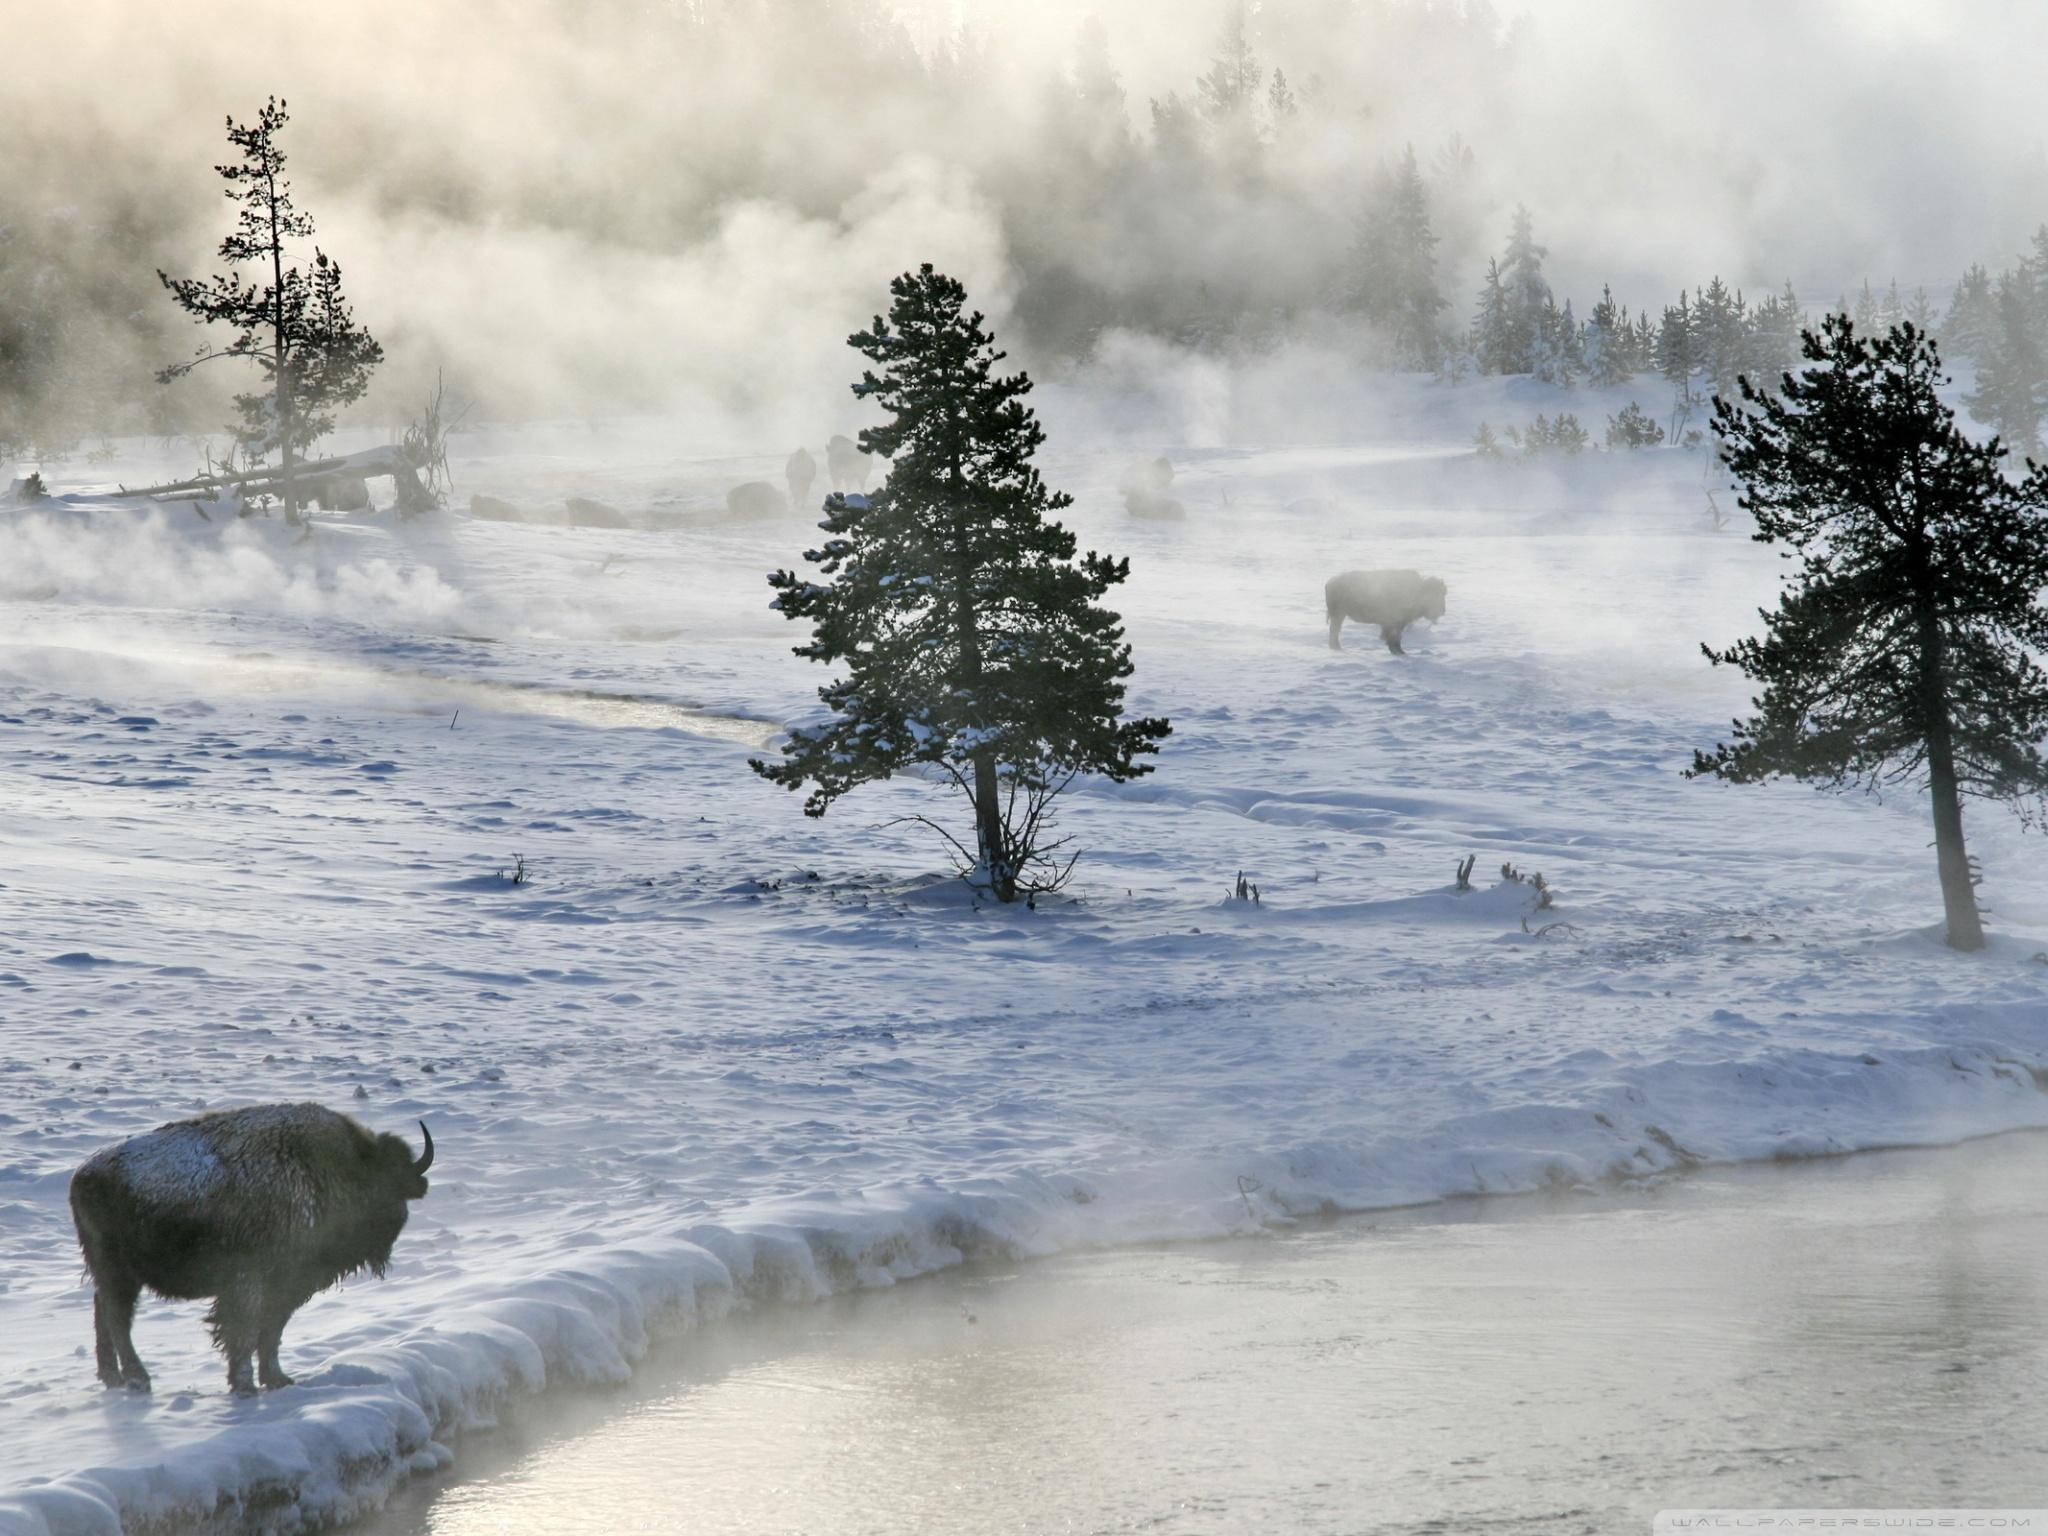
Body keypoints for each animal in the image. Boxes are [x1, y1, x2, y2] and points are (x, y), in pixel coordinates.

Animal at [70, 1103, 433, 1395]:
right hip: (120, 1274)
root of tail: (81, 1177)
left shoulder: (286, 1289)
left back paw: (113, 1377)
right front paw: (245, 1386)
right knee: (117, 1318)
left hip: (116, 1275)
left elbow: (270, 1332)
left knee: (104, 1310)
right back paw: (138, 1379)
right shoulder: (251, 1284)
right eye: (389, 1182)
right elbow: (246, 1332)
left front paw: (277, 1380)